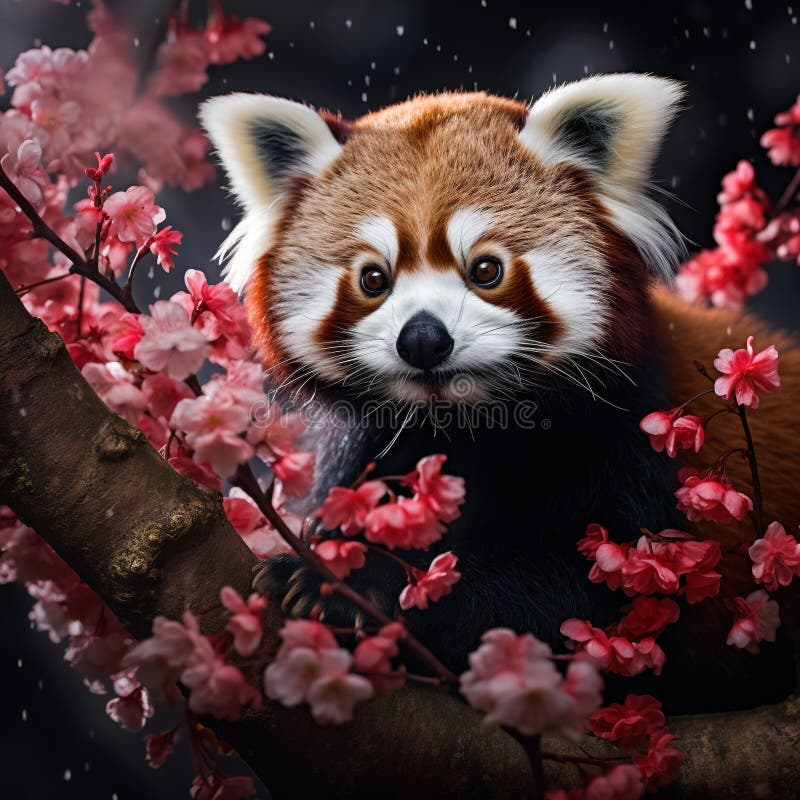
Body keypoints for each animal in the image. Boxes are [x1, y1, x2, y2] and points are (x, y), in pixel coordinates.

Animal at [201, 74, 800, 713]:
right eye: (372, 278)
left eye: (486, 269)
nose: (423, 339)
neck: (470, 429)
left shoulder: (638, 445)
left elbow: (577, 602)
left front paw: (349, 586)